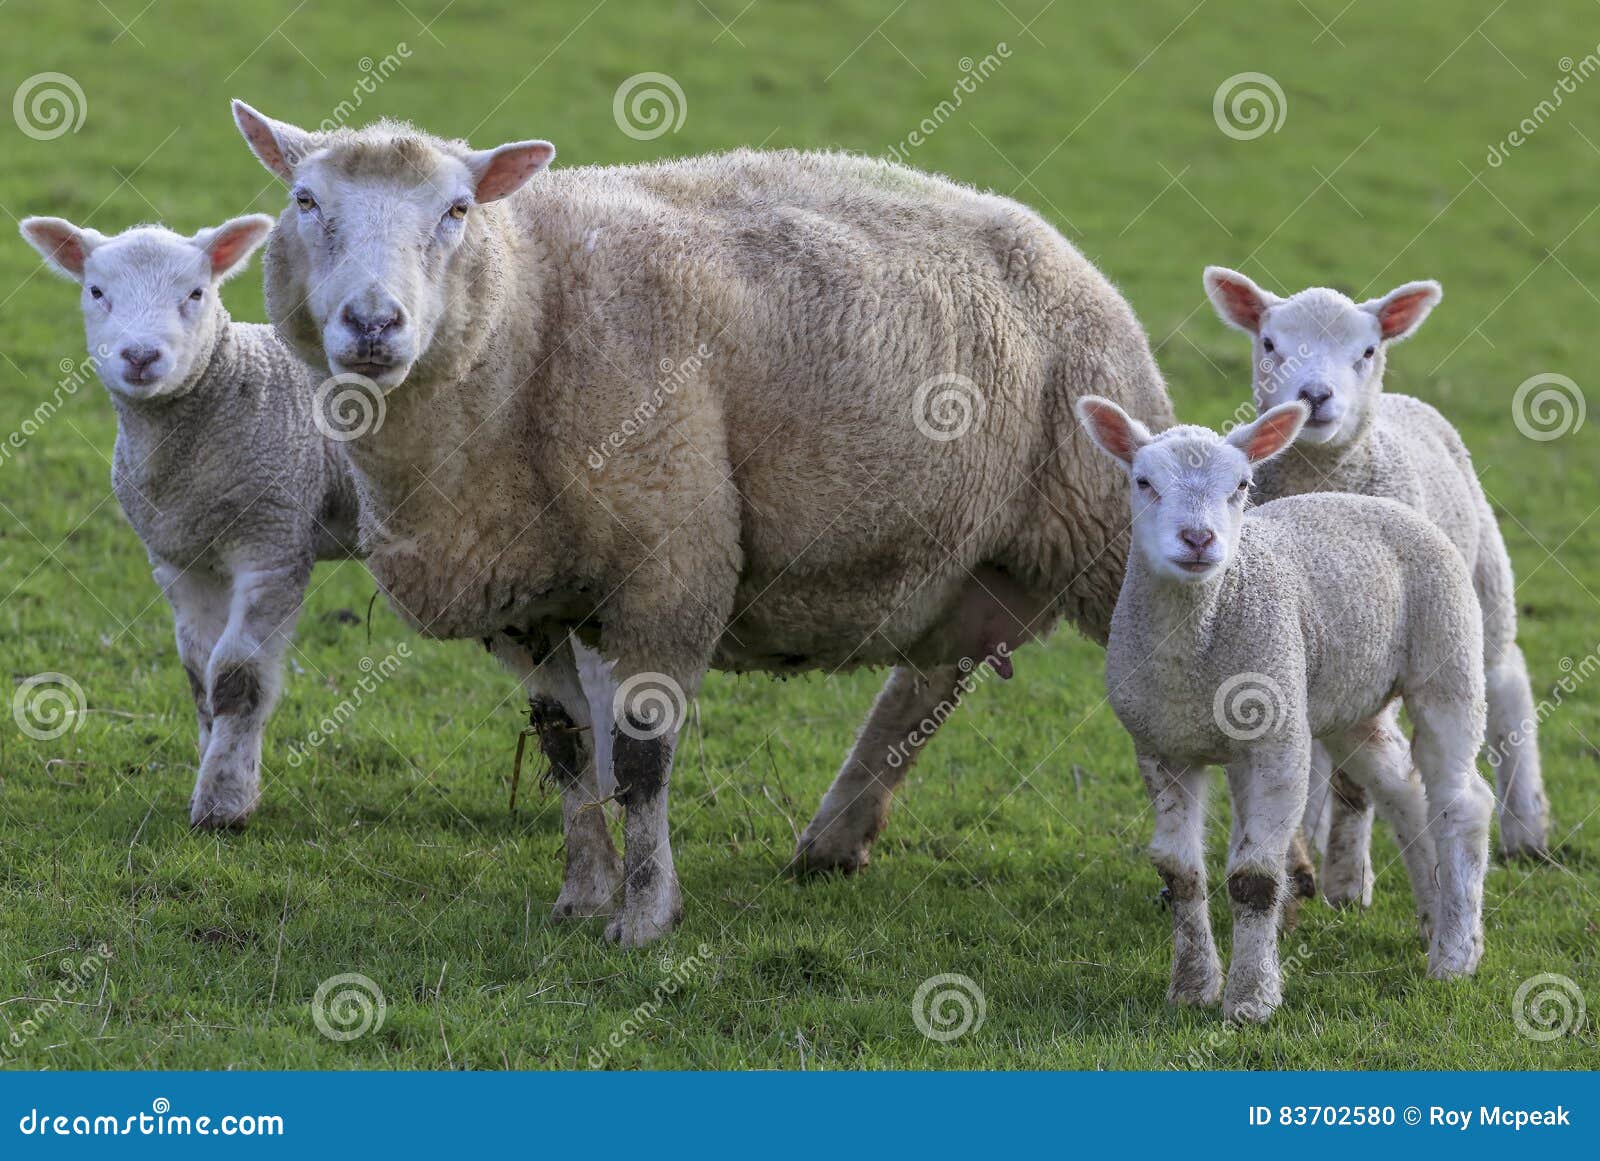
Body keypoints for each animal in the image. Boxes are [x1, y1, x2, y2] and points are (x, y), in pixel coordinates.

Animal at [19, 214, 360, 829]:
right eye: (96, 291)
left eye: (196, 293)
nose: (139, 356)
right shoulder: (181, 556)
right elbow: (200, 675)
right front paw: (219, 771)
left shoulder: (273, 538)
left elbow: (238, 677)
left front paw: (224, 802)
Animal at [230, 101, 1176, 945]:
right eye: (306, 201)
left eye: (457, 210)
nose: (373, 324)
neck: (531, 313)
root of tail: (1055, 246)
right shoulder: (525, 598)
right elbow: (566, 748)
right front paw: (583, 893)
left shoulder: (670, 562)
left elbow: (641, 760)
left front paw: (647, 917)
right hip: (964, 555)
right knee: (928, 680)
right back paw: (835, 838)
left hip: (1110, 527)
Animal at [1077, 395, 1493, 1021]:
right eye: (1143, 482)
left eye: (1242, 485)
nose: (1197, 539)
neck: (1191, 659)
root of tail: (1381, 504)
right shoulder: (1159, 744)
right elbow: (1180, 873)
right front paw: (1192, 987)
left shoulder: (1278, 741)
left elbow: (1253, 878)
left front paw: (1251, 999)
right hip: (1345, 698)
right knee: (1404, 788)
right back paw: (1431, 916)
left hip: (1449, 653)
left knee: (1462, 802)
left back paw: (1454, 954)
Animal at [1203, 267, 1550, 899]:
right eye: (1269, 343)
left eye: (1367, 351)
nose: (1314, 396)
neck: (1322, 478)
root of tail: (1402, 401)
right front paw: (1301, 854)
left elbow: (1356, 777)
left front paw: (1347, 880)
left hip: (1479, 583)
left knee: (1508, 677)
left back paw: (1526, 826)